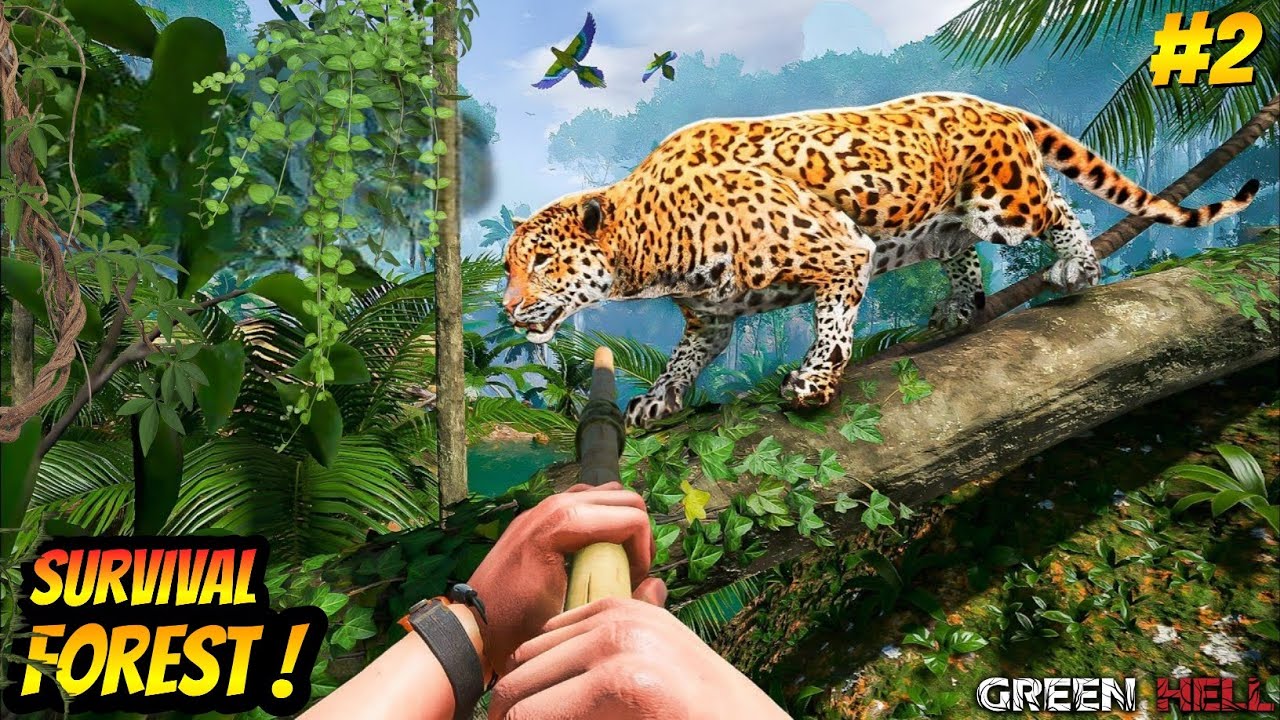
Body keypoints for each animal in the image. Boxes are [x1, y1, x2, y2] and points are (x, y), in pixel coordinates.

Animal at [501, 92, 1260, 428]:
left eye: (539, 262)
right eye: (507, 267)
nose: (507, 309)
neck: (649, 246)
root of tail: (990, 101)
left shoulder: (839, 249)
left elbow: (832, 326)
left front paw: (812, 385)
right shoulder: (710, 316)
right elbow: (685, 357)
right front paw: (658, 399)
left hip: (1005, 204)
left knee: (1059, 205)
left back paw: (1079, 269)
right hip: (942, 221)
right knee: (961, 253)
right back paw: (958, 309)